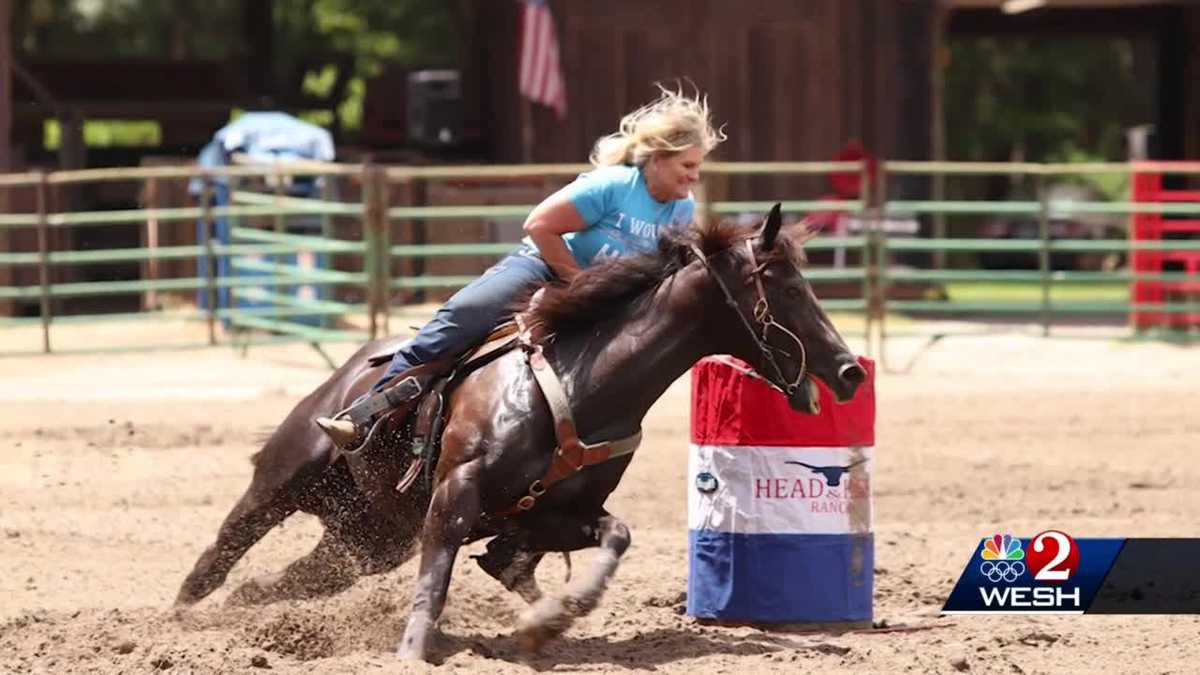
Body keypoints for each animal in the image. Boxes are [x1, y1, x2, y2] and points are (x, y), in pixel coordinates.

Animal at [175, 204, 866, 662]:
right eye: (786, 287)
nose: (850, 371)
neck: (586, 387)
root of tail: (347, 374)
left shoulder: (552, 514)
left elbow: (611, 537)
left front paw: (548, 621)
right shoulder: (455, 493)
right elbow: (437, 579)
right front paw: (415, 650)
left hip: (371, 536)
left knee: (299, 576)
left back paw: (255, 603)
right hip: (283, 479)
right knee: (217, 555)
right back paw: (178, 618)